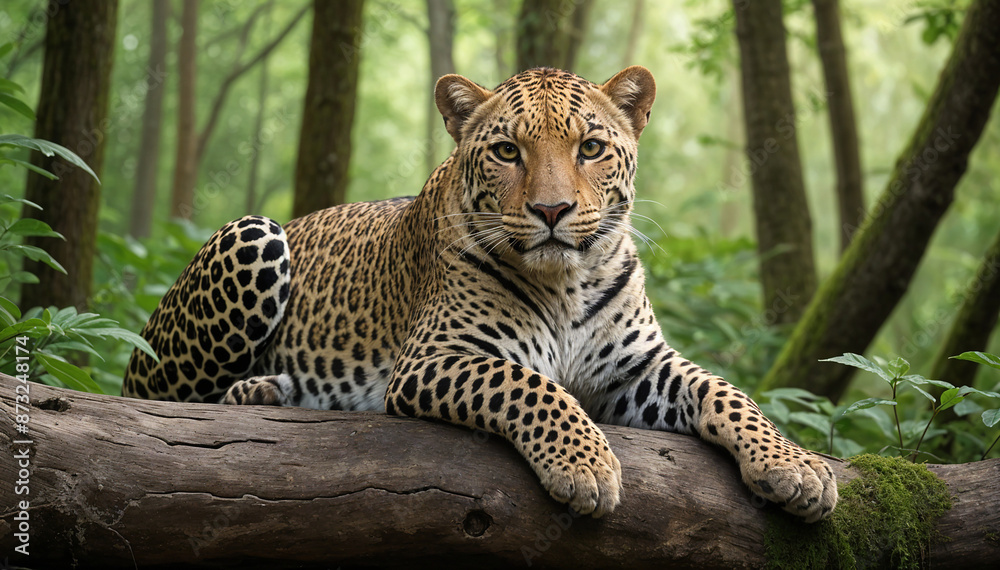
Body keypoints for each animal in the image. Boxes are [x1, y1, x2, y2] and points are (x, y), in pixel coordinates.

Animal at [122, 66, 837, 522]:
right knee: (170, 402)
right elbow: (532, 385)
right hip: (252, 238)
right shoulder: (436, 357)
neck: (568, 283)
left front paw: (797, 465)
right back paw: (253, 391)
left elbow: (728, 391)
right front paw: (586, 466)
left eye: (591, 147)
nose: (552, 210)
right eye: (506, 151)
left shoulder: (638, 369)